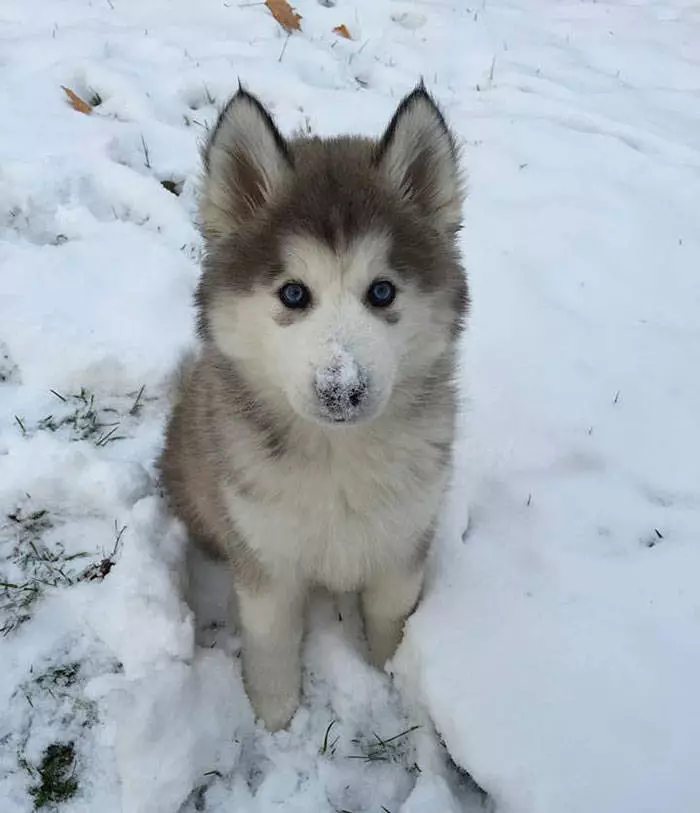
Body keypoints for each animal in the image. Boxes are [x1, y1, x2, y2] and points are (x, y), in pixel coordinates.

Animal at [161, 82, 468, 728]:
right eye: (294, 294)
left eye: (382, 291)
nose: (341, 389)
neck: (338, 456)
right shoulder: (265, 557)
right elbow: (272, 641)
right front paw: (274, 716)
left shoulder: (403, 540)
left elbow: (390, 617)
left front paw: (391, 677)